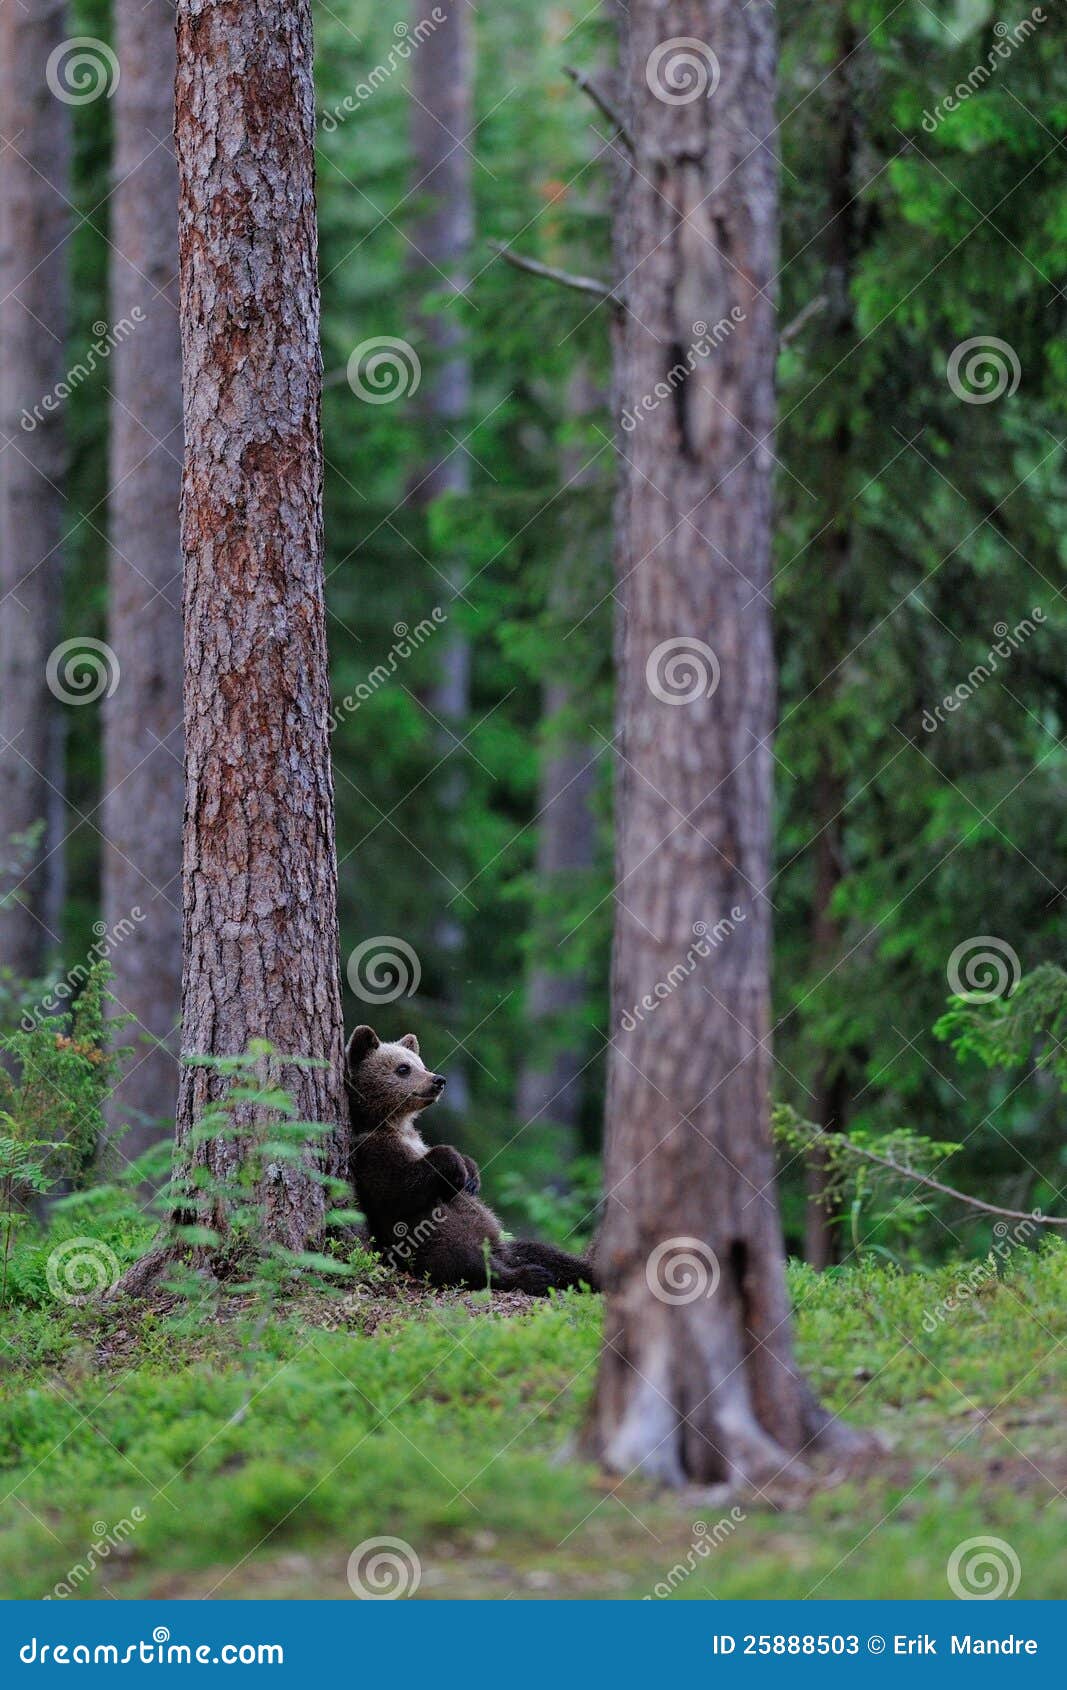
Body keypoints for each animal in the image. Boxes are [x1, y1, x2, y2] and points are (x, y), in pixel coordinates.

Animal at [345, 1025, 598, 1296]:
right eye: (403, 1068)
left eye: (422, 1064)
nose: (438, 1080)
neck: (393, 1124)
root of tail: (496, 1252)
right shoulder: (373, 1154)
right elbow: (398, 1187)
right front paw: (455, 1167)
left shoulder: (414, 1140)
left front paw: (471, 1176)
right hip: (434, 1239)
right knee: (467, 1261)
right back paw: (532, 1276)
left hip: (505, 1243)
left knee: (544, 1251)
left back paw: (588, 1273)